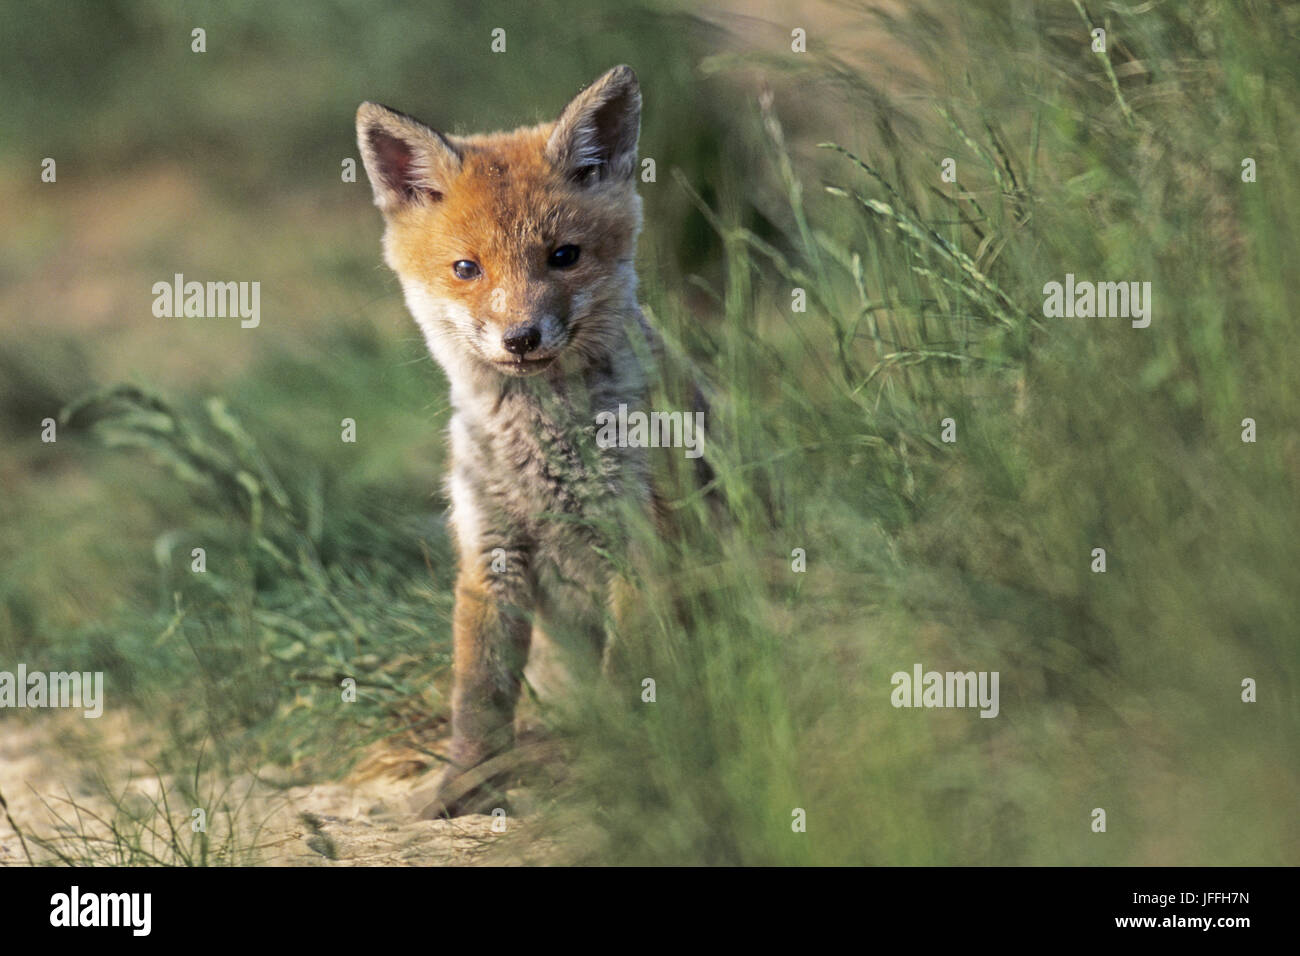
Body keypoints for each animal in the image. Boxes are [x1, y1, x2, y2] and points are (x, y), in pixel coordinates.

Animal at [356, 66, 655, 817]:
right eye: (467, 269)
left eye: (563, 257)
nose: (521, 338)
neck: (541, 457)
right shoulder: (489, 551)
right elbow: (479, 698)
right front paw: (462, 790)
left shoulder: (641, 543)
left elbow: (631, 676)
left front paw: (628, 774)